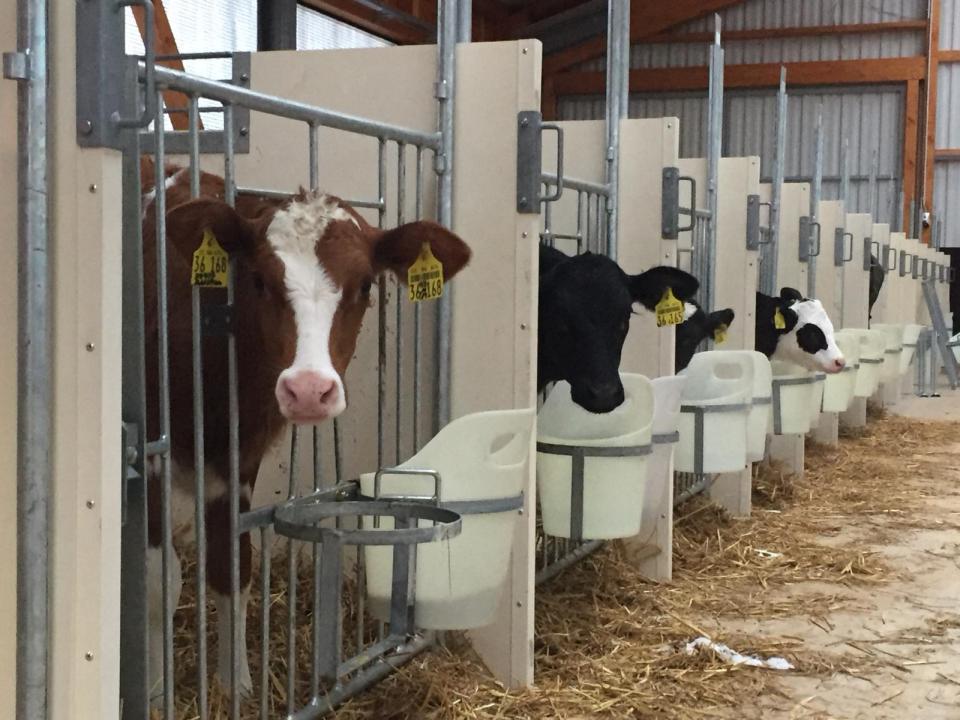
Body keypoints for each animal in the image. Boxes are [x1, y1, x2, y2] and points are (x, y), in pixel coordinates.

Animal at [140, 160, 471, 698]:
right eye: (258, 280)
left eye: (365, 285)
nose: (309, 389)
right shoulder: (147, 449)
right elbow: (157, 580)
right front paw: (151, 690)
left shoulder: (238, 459)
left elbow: (234, 568)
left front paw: (237, 687)